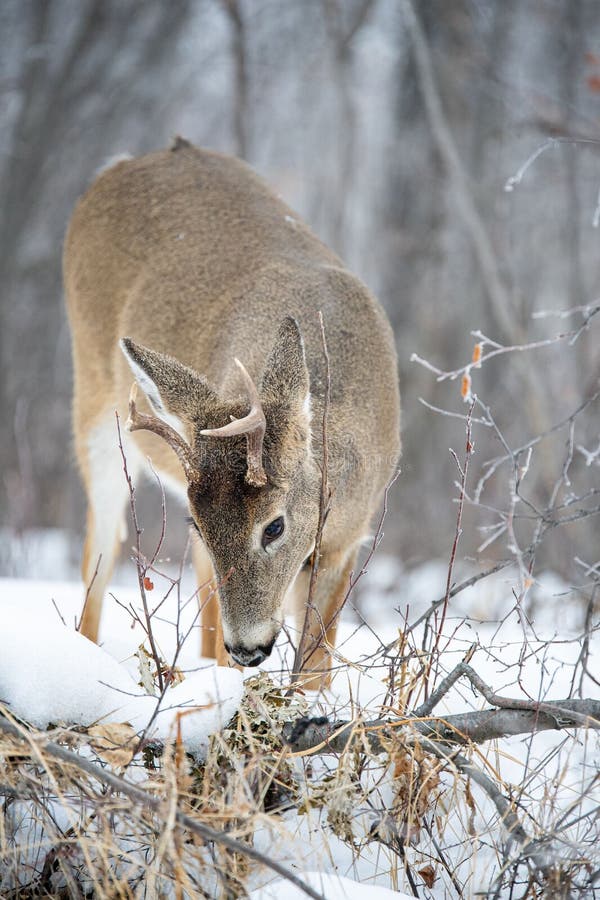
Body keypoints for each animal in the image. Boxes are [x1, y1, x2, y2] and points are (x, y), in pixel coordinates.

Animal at [63, 137, 400, 685]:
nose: (247, 648)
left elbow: (315, 672)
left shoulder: (345, 542)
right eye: (200, 527)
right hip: (93, 400)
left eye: (275, 526)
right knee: (100, 548)